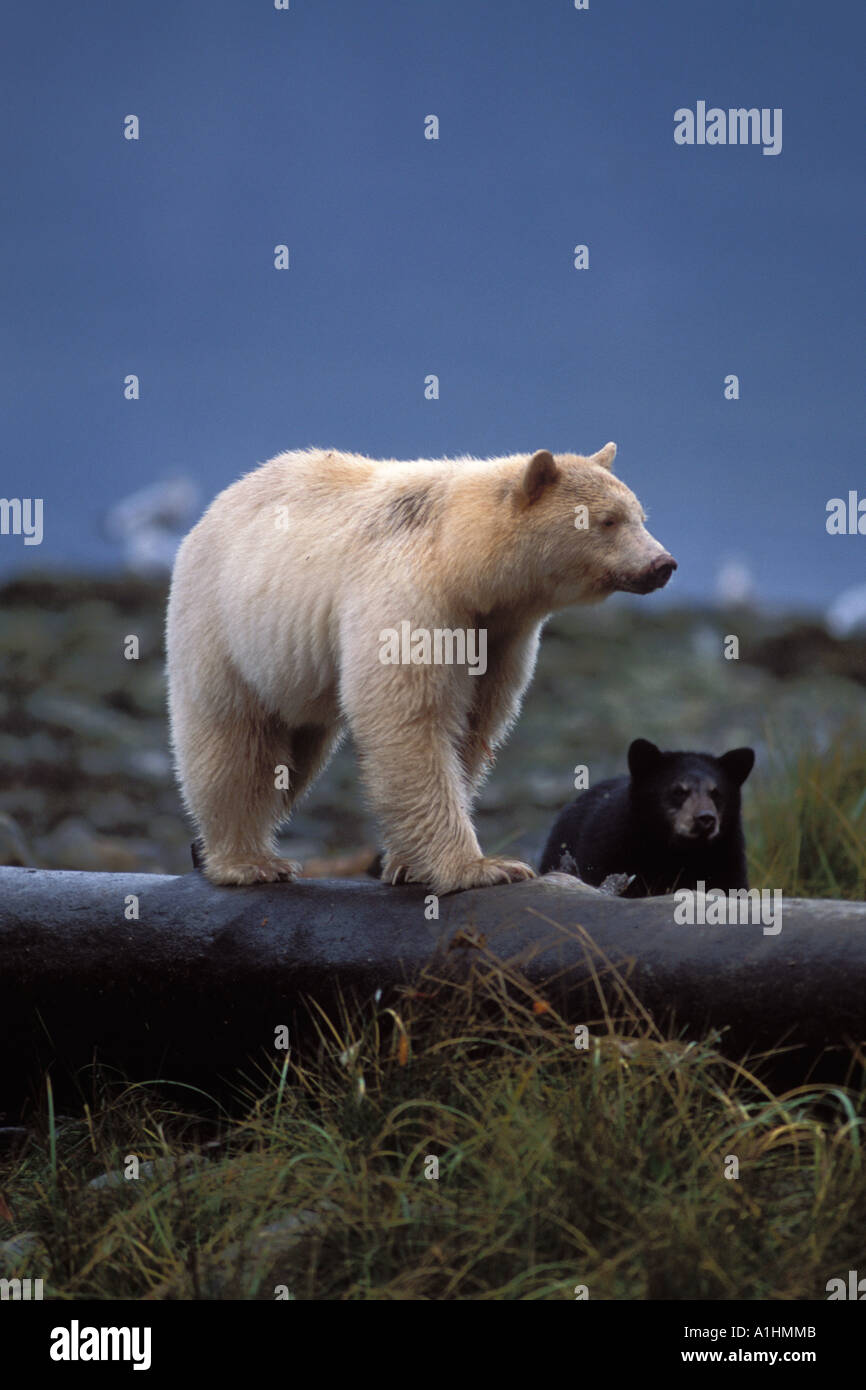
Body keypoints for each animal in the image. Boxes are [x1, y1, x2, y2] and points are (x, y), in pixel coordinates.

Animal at [165, 444, 676, 894]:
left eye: (640, 516)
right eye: (608, 520)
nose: (662, 563)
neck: (460, 559)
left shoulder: (500, 634)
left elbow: (474, 725)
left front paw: (410, 865)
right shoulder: (414, 599)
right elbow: (412, 722)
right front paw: (483, 868)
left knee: (298, 756)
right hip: (224, 632)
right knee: (236, 742)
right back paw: (248, 861)